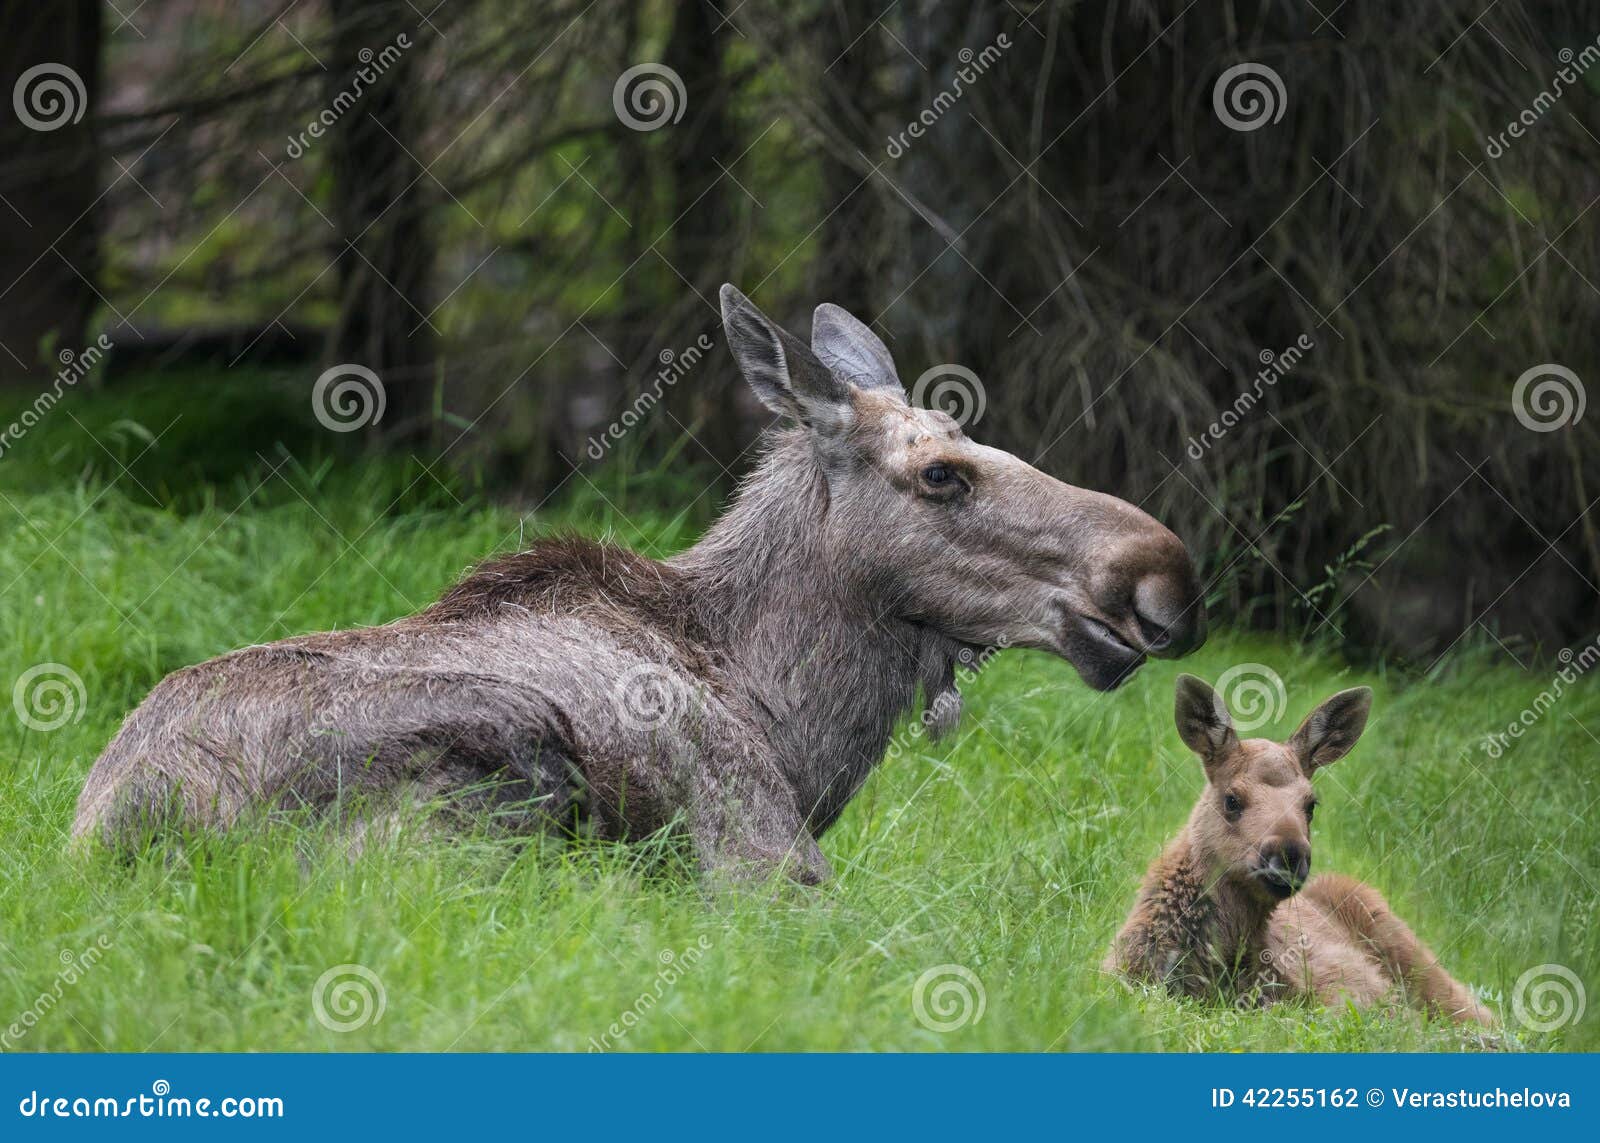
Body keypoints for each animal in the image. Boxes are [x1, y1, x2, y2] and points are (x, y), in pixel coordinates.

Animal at [73, 284, 1205, 883]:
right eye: (942, 474)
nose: (1165, 573)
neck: (790, 713)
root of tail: (126, 825)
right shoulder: (765, 858)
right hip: (507, 754)